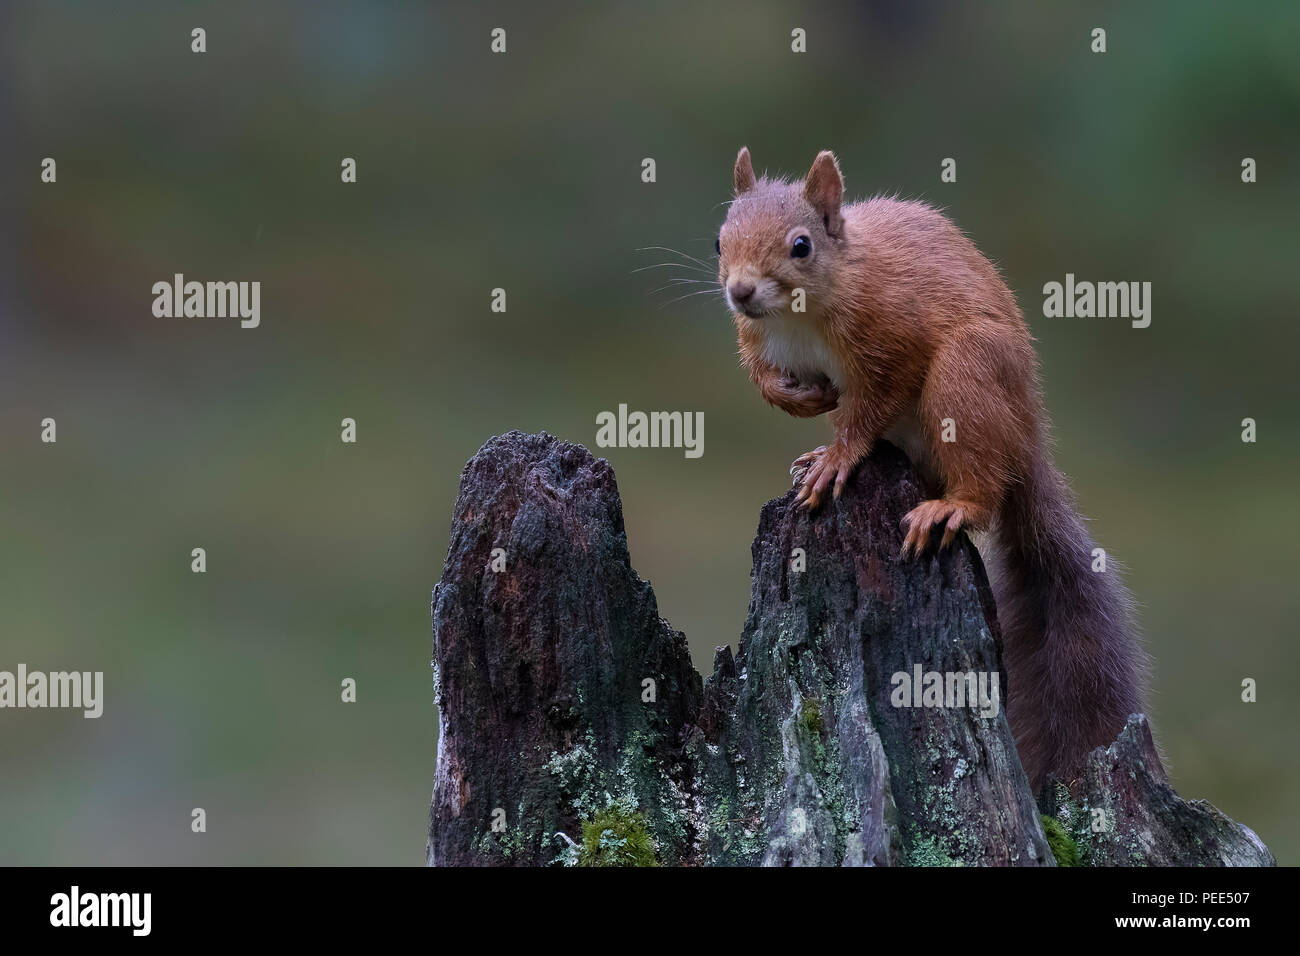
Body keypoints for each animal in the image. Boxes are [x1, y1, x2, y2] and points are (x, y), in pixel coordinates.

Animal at [715, 146, 1148, 790]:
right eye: (720, 239)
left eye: (801, 246)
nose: (740, 291)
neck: (803, 314)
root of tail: (1028, 442)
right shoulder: (759, 338)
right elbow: (764, 375)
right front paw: (802, 402)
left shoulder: (893, 334)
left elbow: (873, 404)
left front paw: (839, 456)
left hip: (966, 377)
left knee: (982, 489)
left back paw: (949, 506)